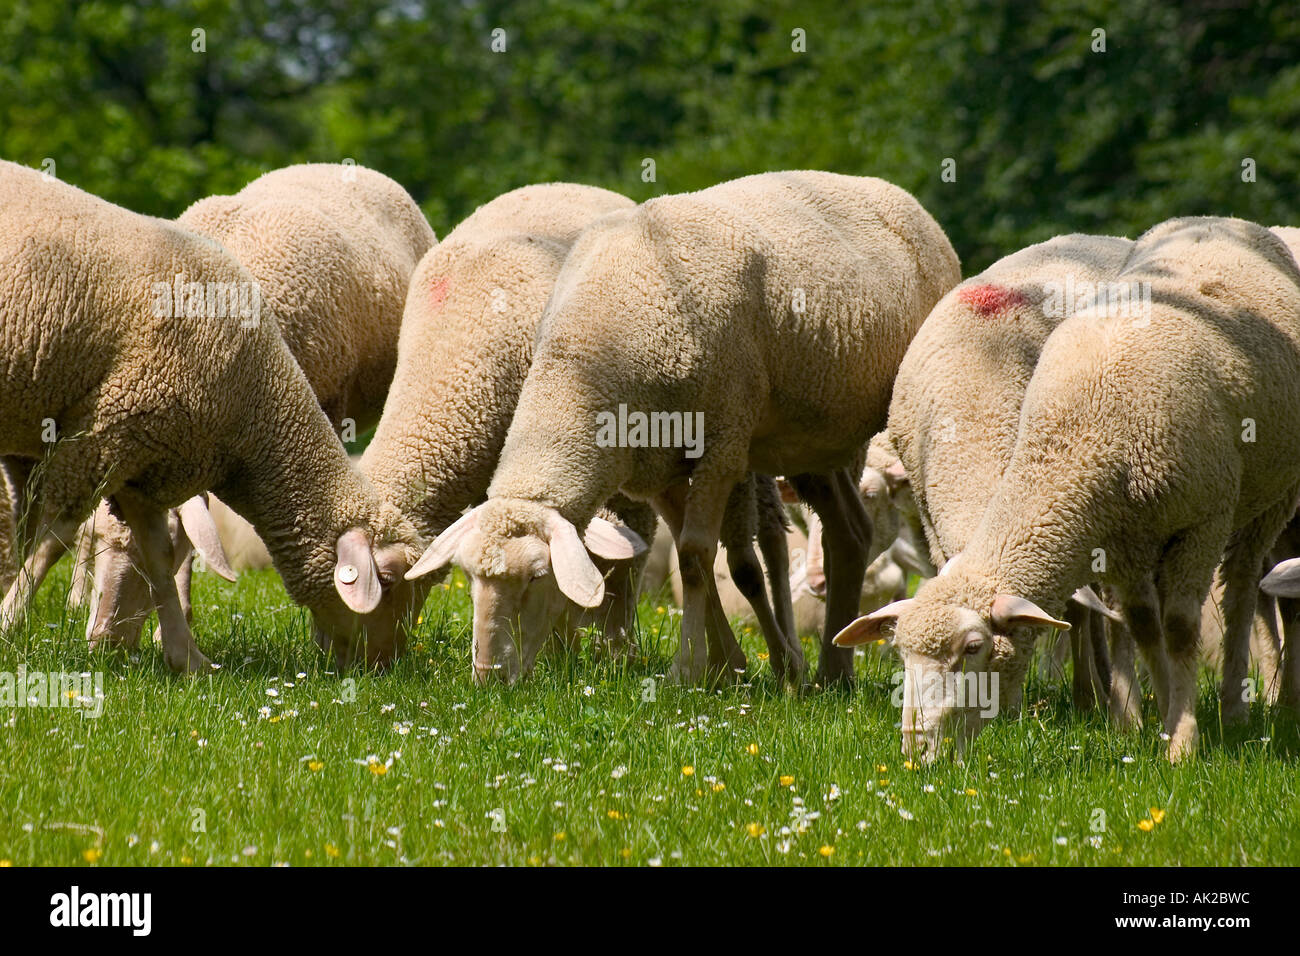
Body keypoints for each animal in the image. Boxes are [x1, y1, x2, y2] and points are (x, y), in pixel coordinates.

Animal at [0, 159, 421, 671]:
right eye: (390, 582)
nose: (388, 665)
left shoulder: (144, 451)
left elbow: (157, 550)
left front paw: (183, 651)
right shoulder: (111, 437)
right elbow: (58, 539)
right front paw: (10, 619)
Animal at [406, 171, 961, 687]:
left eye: (538, 577)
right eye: (469, 577)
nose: (487, 675)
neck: (590, 361)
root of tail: (896, 193)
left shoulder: (721, 446)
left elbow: (695, 556)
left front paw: (687, 671)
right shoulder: (656, 465)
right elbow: (697, 557)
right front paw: (727, 665)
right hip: (811, 439)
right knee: (850, 532)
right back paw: (831, 673)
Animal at [836, 216, 1300, 762]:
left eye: (972, 649)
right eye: (900, 651)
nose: (919, 750)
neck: (1080, 441)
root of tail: (1222, 220)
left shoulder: (1200, 521)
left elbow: (1181, 628)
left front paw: (1182, 745)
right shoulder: (1121, 542)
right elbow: (1144, 622)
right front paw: (1164, 718)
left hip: (1268, 498)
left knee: (1245, 592)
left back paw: (1239, 709)